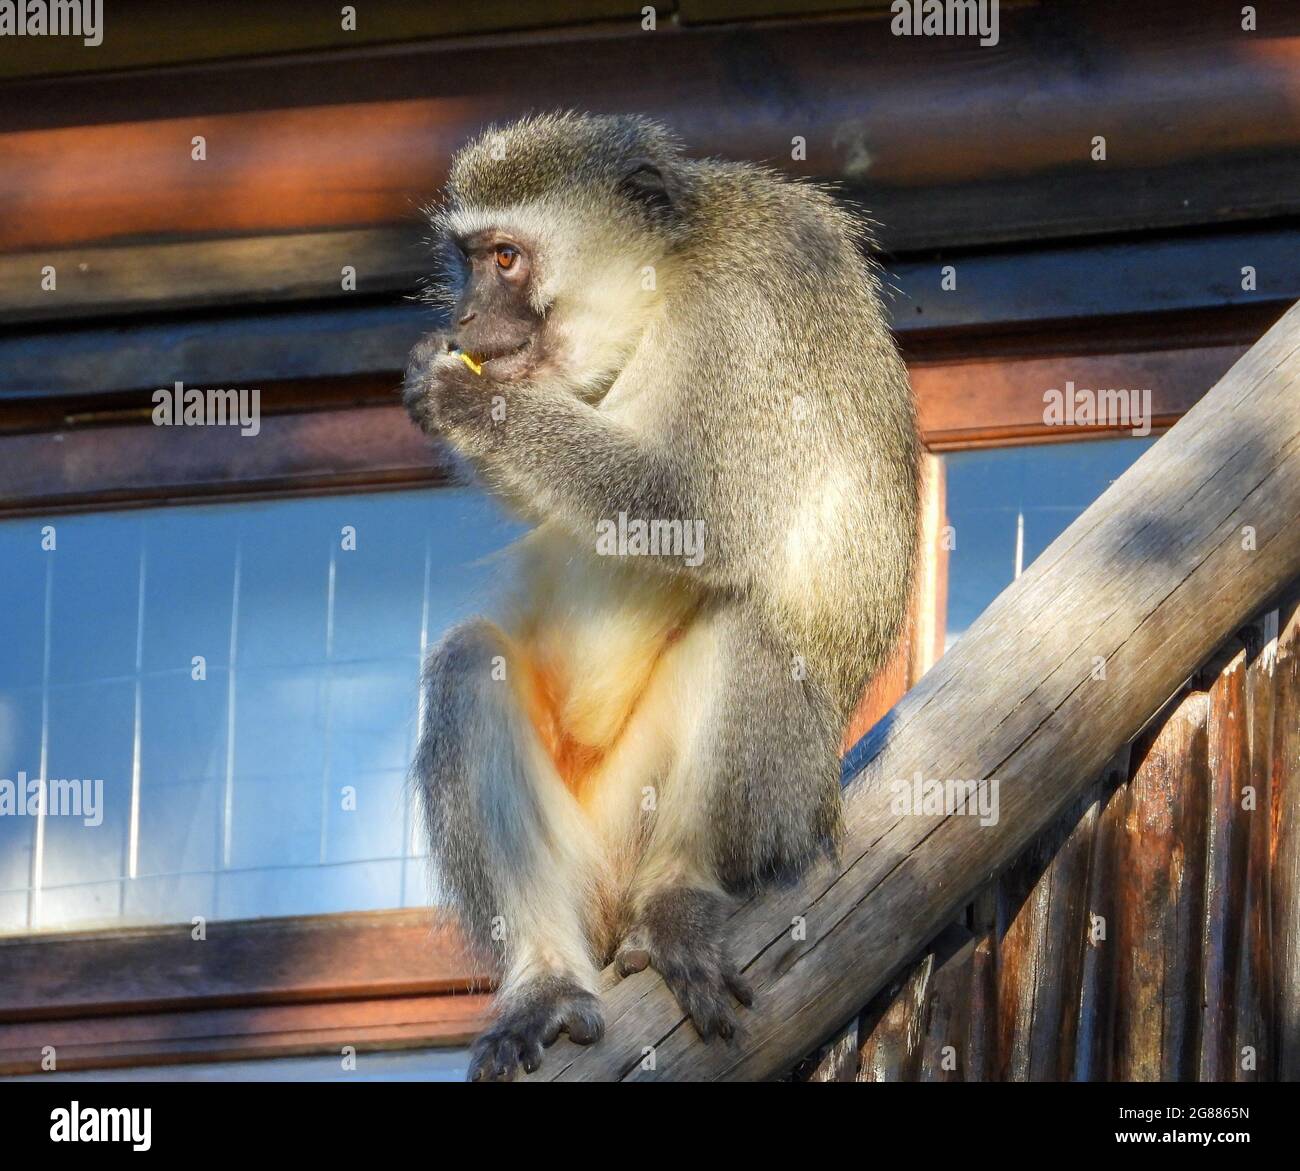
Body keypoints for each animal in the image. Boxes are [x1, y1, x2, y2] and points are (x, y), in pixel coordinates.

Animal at [402, 112, 919, 1081]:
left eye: (505, 258)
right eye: (467, 261)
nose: (463, 318)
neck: (666, 285)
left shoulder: (749, 311)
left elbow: (698, 512)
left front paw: (465, 402)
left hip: (780, 805)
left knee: (749, 622)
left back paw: (682, 894)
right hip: (591, 839)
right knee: (466, 664)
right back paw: (546, 982)